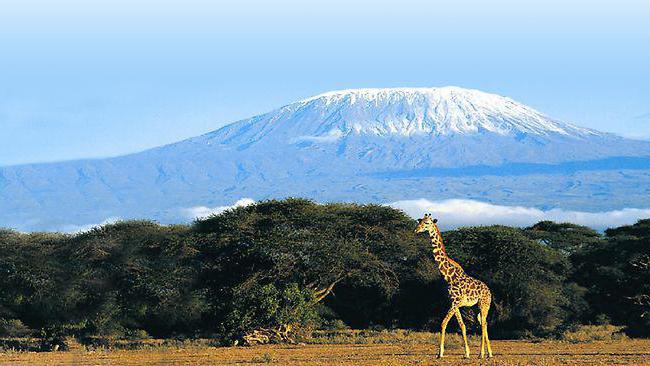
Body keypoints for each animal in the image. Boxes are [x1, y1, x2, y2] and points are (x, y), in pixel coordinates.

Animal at [416, 213, 492, 358]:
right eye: (420, 221)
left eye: (427, 223)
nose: (417, 229)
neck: (448, 276)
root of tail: (489, 291)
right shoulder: (454, 303)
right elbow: (462, 325)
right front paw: (466, 353)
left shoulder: (455, 303)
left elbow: (443, 323)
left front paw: (440, 353)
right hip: (476, 308)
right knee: (483, 322)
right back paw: (489, 353)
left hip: (483, 304)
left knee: (484, 323)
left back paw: (481, 354)